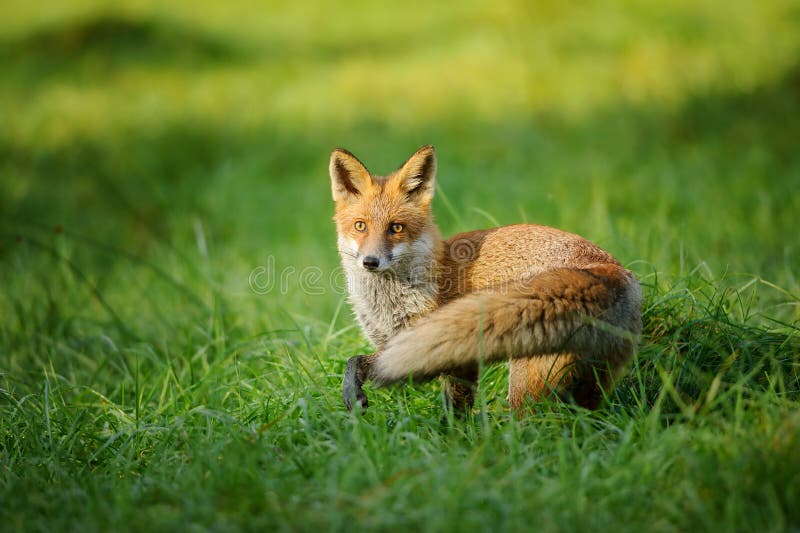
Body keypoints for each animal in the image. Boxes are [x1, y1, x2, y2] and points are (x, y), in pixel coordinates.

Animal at [331, 145, 642, 412]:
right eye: (360, 226)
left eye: (396, 228)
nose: (370, 262)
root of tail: (607, 269)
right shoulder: (399, 349)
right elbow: (355, 360)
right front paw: (352, 390)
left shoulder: (451, 358)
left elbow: (454, 410)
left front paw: (453, 438)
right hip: (589, 386)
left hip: (525, 386)